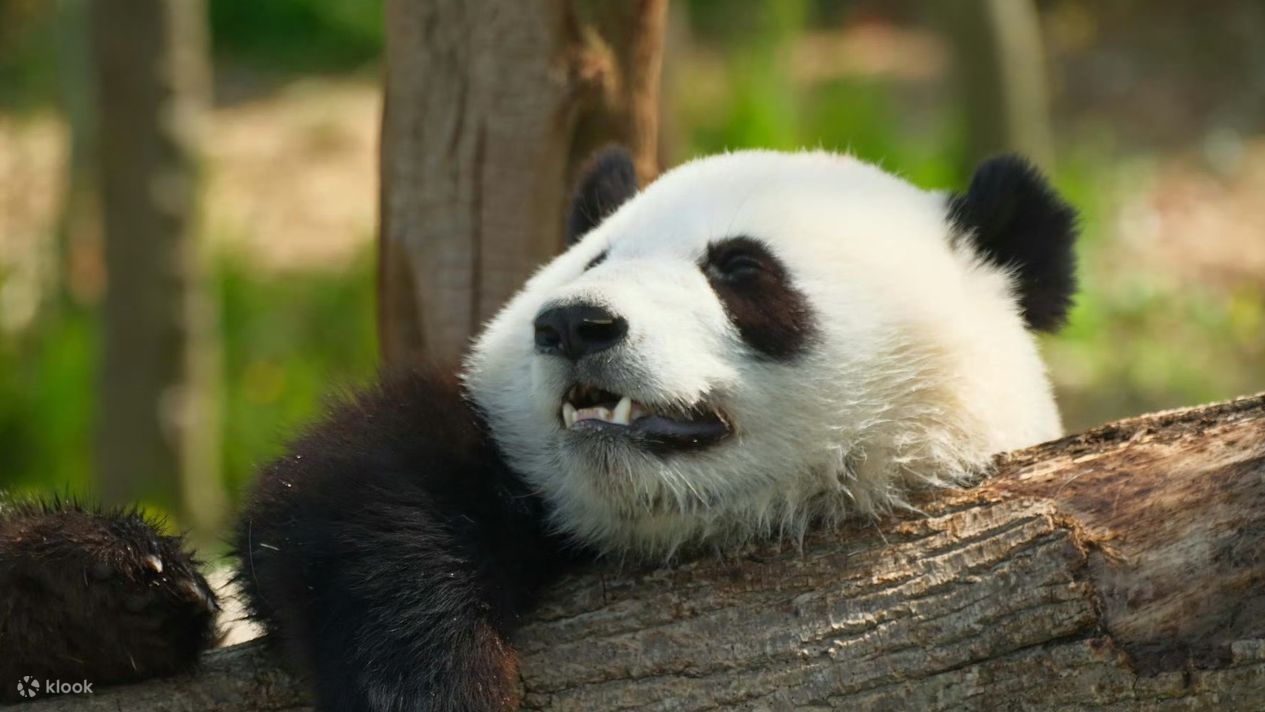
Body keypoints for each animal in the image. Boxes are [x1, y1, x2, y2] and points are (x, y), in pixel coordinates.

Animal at [1, 147, 1076, 711]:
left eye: (738, 269)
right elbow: (347, 495)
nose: (574, 325)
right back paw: (107, 586)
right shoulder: (480, 449)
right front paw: (438, 682)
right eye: (592, 258)